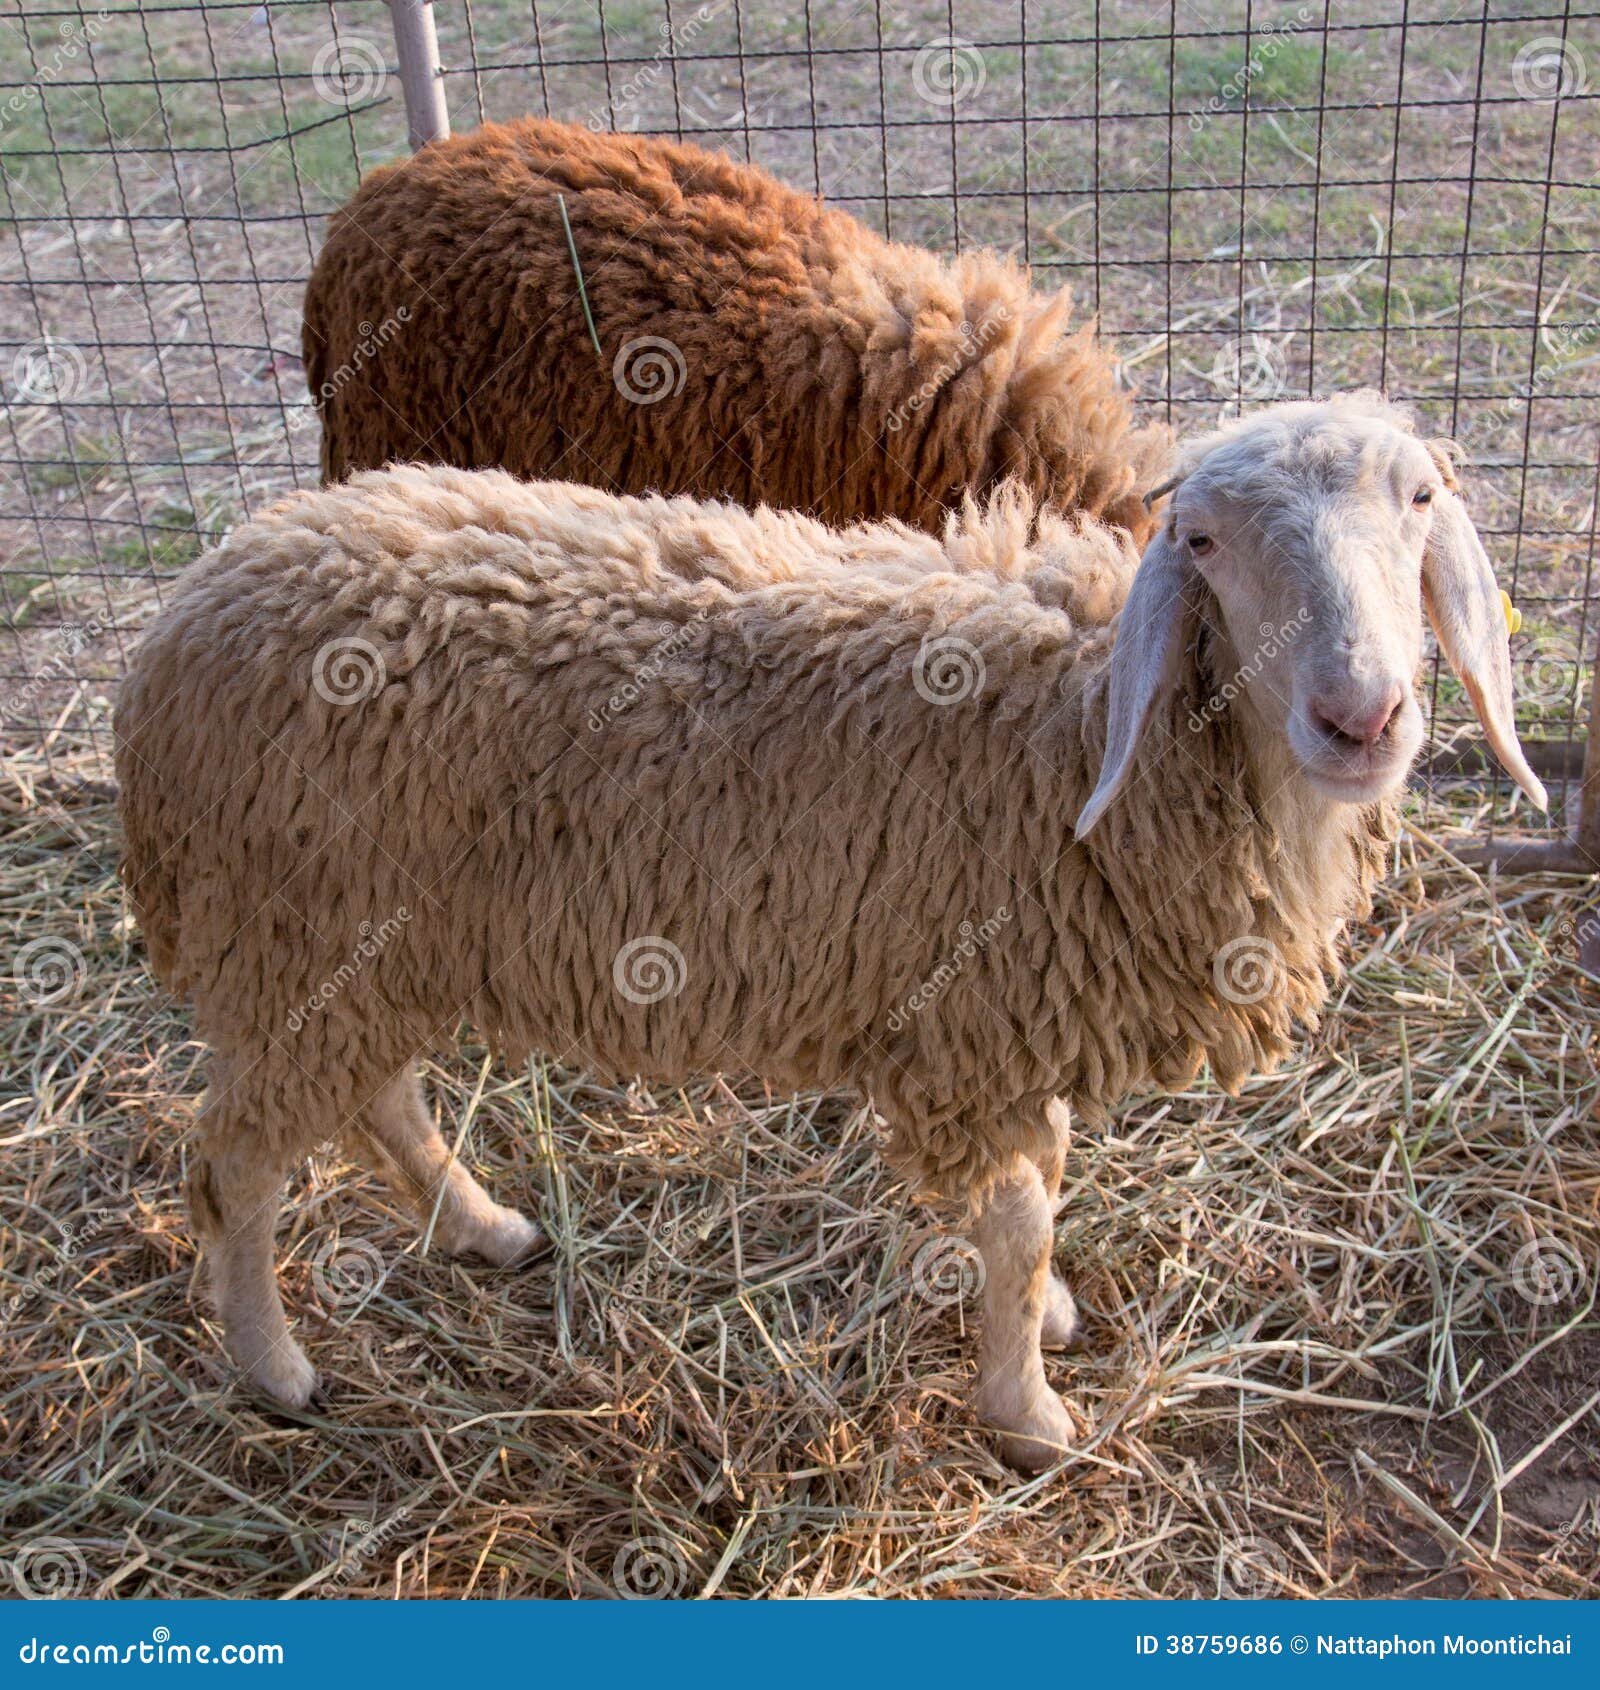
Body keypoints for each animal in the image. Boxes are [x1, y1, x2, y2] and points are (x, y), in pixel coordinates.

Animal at [116, 393, 1544, 1469]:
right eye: (1197, 539)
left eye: (1422, 501)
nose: (1360, 718)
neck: (1087, 730)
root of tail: (185, 616)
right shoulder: (972, 1031)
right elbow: (1018, 1215)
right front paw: (1027, 1410)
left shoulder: (1008, 1021)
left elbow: (1033, 1197)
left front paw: (1041, 1318)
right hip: (292, 932)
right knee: (235, 1164)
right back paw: (277, 1368)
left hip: (362, 953)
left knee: (382, 1100)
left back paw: (484, 1227)